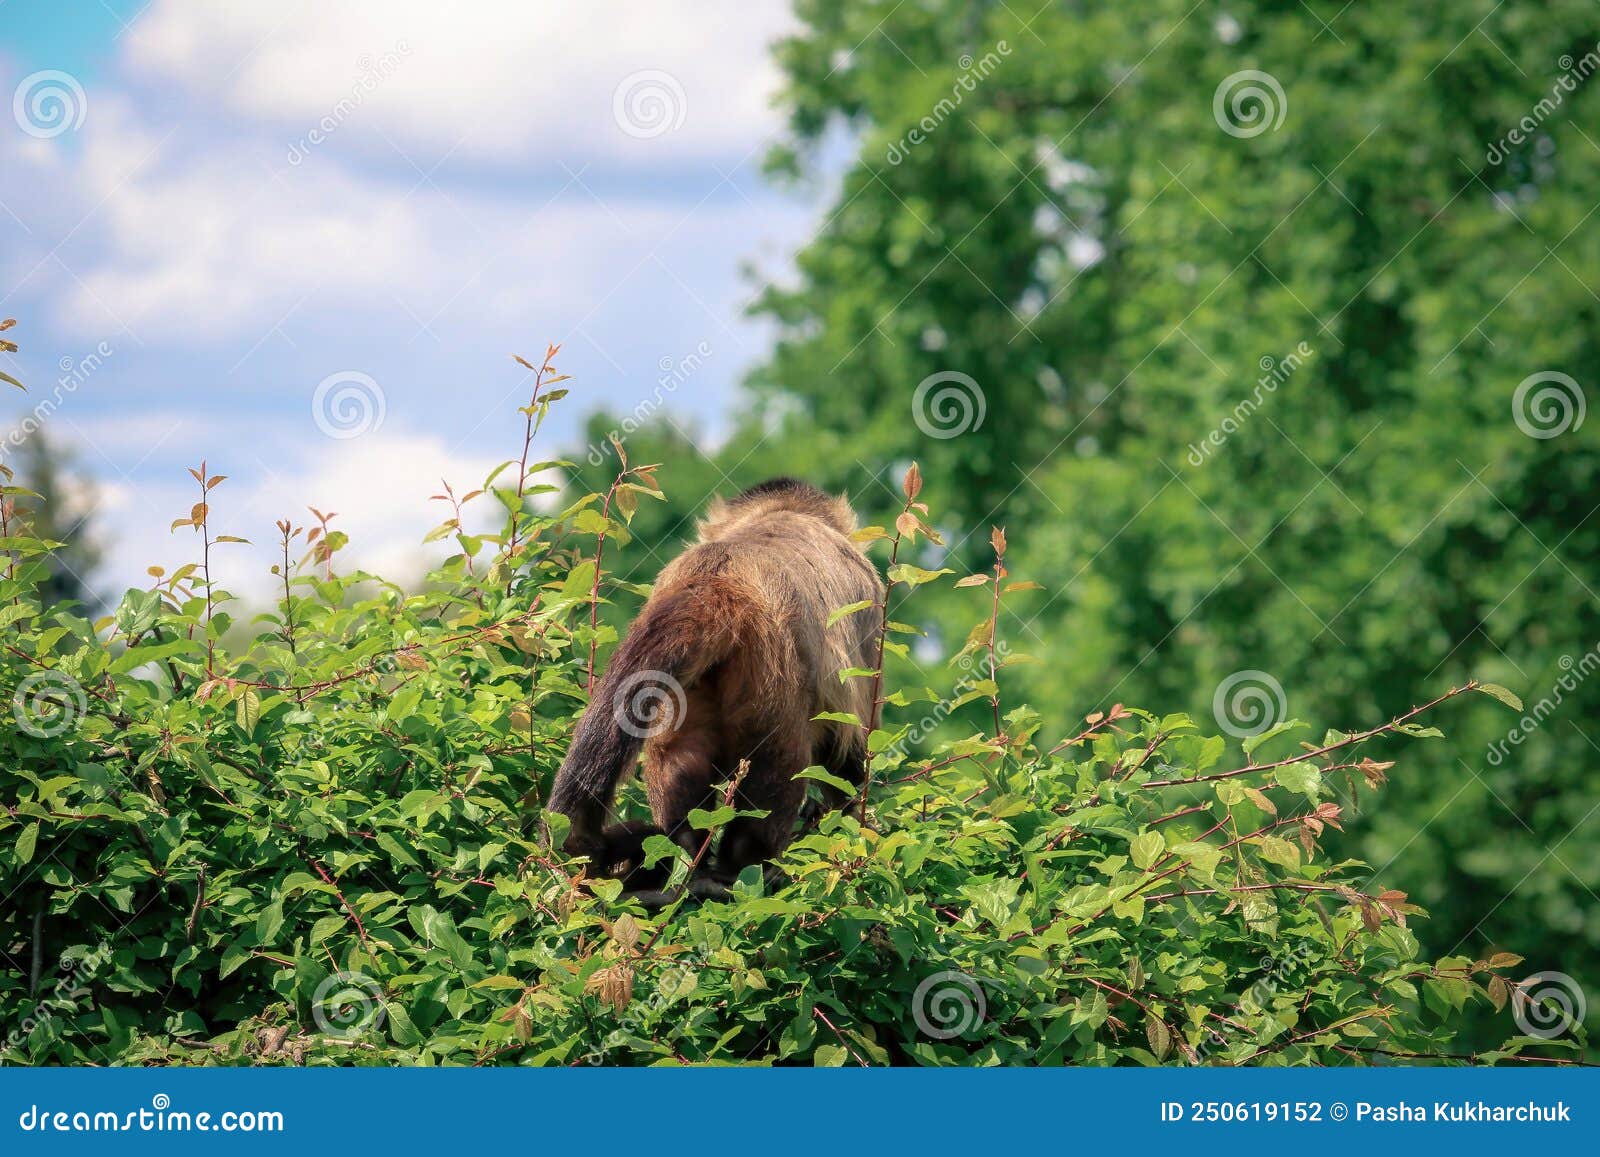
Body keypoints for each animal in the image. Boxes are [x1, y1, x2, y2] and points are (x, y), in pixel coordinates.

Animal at [549, 478, 884, 892]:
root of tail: (720, 578)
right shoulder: (871, 595)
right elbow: (853, 750)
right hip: (769, 681)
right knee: (780, 765)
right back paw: (742, 866)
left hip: (682, 694)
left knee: (680, 760)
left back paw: (685, 853)